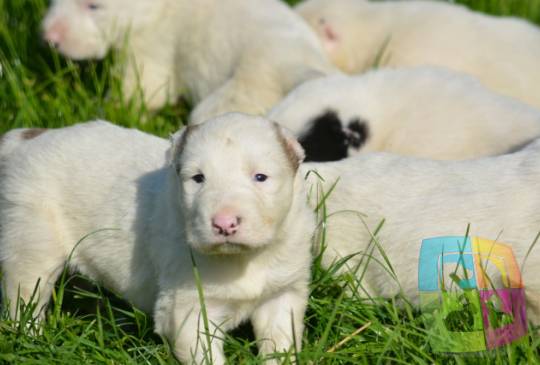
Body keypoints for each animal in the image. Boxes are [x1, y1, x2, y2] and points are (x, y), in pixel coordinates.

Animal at [0, 115, 316, 362]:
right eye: (198, 178)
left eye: (260, 177)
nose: (224, 223)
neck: (243, 259)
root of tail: (29, 138)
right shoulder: (188, 309)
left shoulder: (282, 294)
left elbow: (280, 343)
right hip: (30, 240)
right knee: (25, 296)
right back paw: (31, 340)